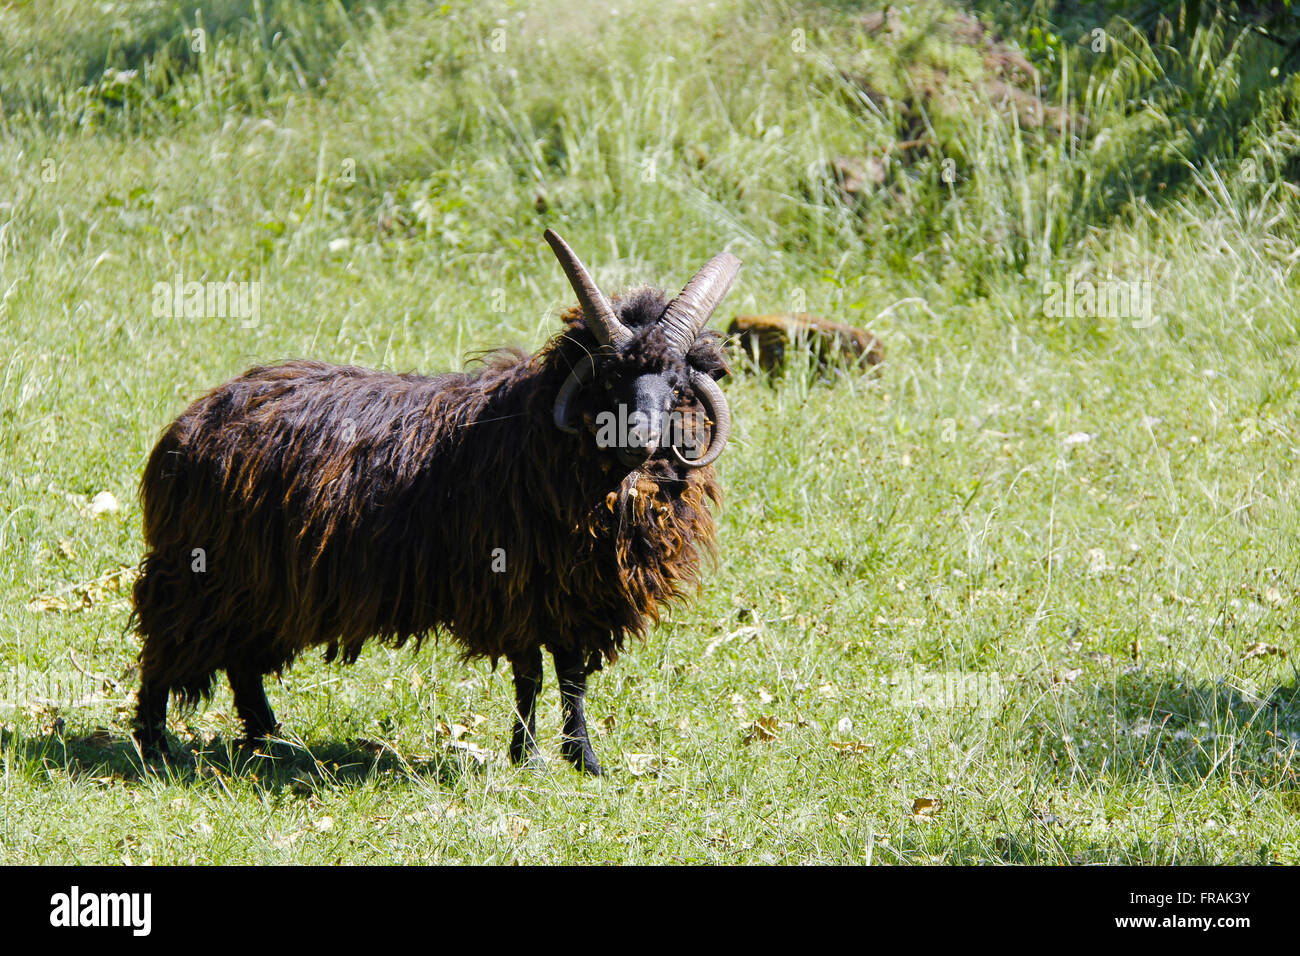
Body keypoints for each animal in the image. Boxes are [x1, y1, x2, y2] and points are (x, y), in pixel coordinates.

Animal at [130, 230, 740, 775]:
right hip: (202, 572)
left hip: (256, 583)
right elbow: (531, 675)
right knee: (166, 644)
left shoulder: (574, 591)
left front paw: (584, 760)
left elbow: (571, 677)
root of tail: (187, 427)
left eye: (678, 385)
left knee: (240, 660)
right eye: (611, 377)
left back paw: (266, 739)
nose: (639, 436)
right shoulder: (516, 587)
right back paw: (156, 745)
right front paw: (528, 759)